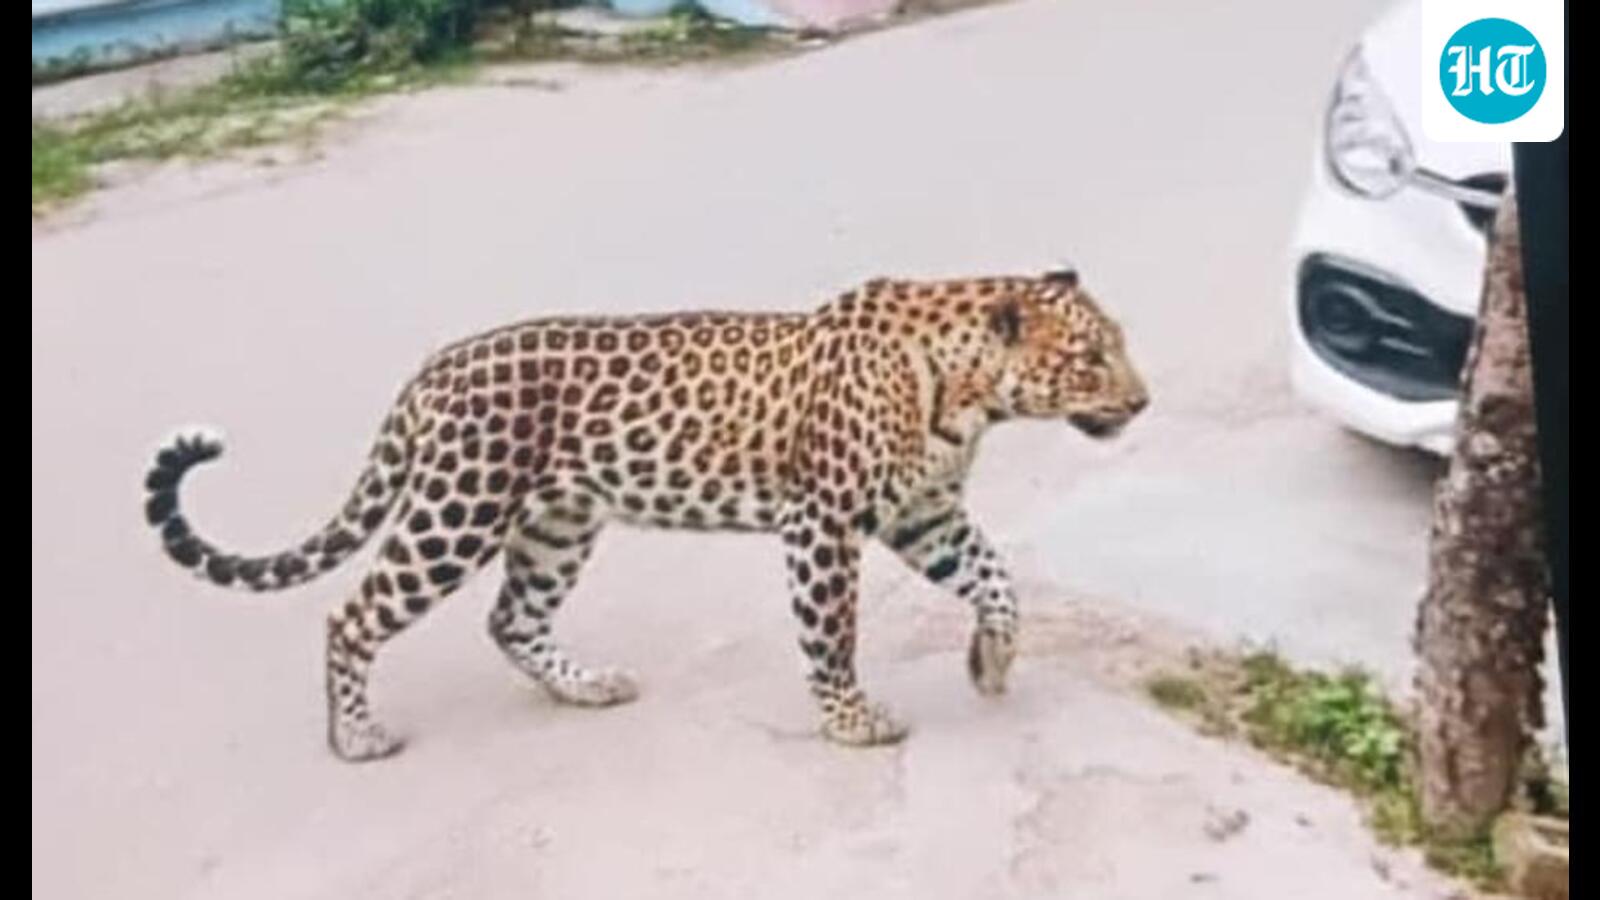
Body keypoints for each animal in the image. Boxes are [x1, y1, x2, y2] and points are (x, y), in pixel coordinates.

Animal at [143, 267, 1149, 762]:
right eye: (1091, 358)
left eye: (1116, 349)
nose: (1141, 402)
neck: (968, 394)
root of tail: (431, 371)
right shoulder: (823, 523)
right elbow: (833, 634)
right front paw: (851, 722)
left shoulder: (924, 515)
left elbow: (998, 579)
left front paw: (992, 662)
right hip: (457, 510)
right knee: (352, 614)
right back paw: (354, 737)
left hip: (559, 523)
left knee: (512, 617)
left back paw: (585, 687)